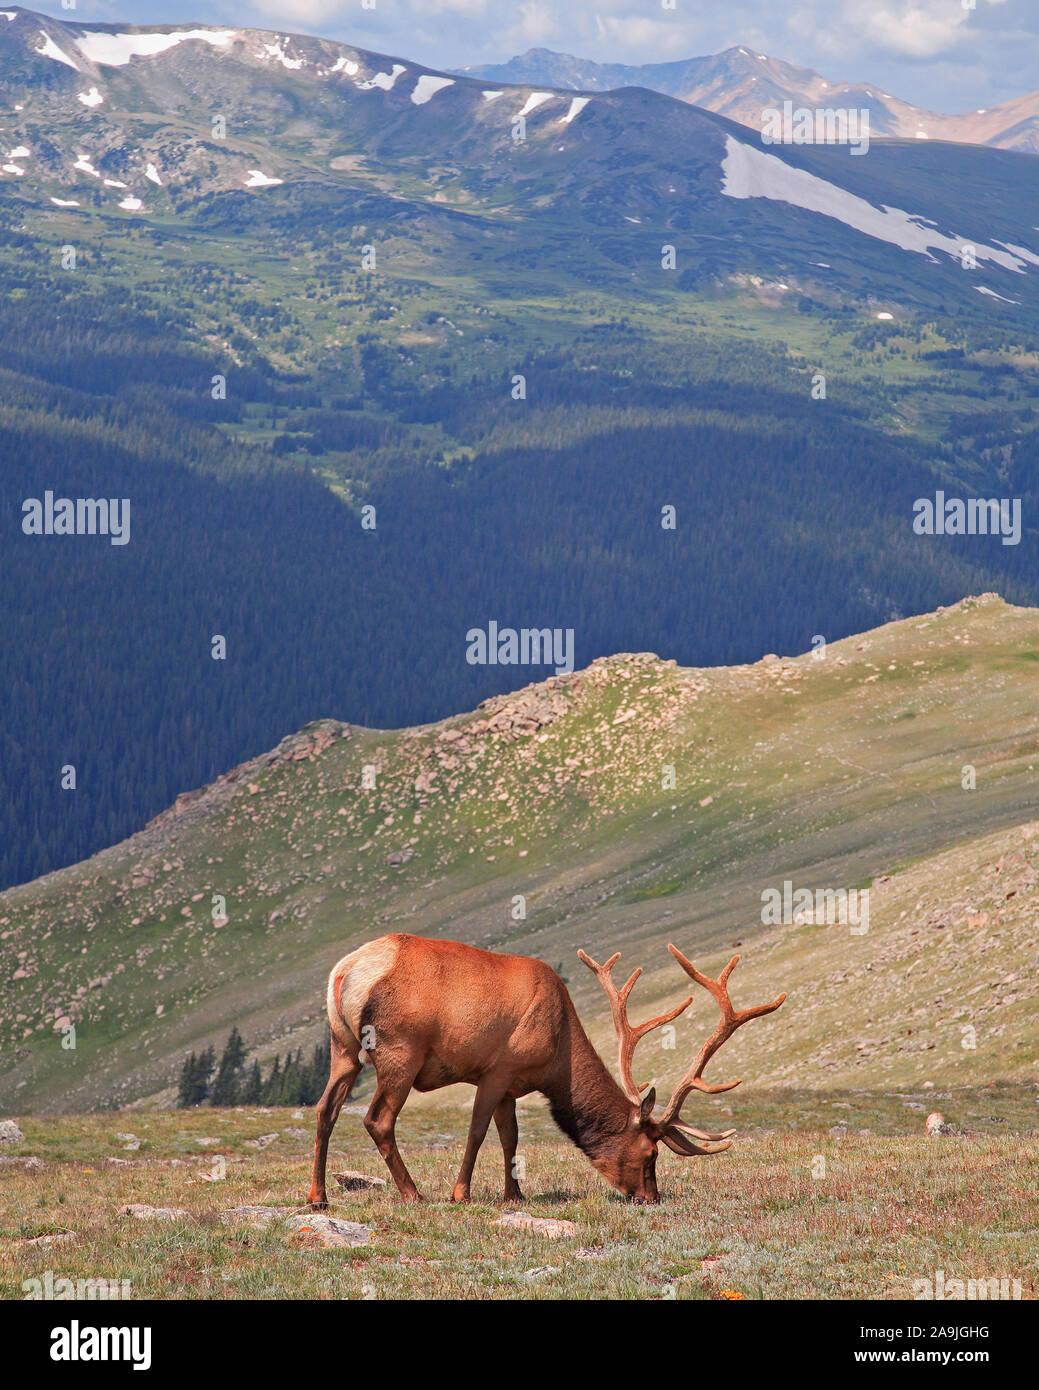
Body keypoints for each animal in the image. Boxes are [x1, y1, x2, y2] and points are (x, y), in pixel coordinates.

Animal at [307, 932, 785, 1206]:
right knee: (377, 1119)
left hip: (342, 1046)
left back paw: (318, 1198)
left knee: (325, 1110)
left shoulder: (510, 1086)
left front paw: (515, 1195)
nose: (651, 1198)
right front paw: (461, 1194)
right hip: (399, 1049)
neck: (558, 1058)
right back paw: (414, 1194)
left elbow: (510, 1137)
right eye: (651, 1154)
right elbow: (477, 1131)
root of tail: (343, 973)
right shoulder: (498, 1069)